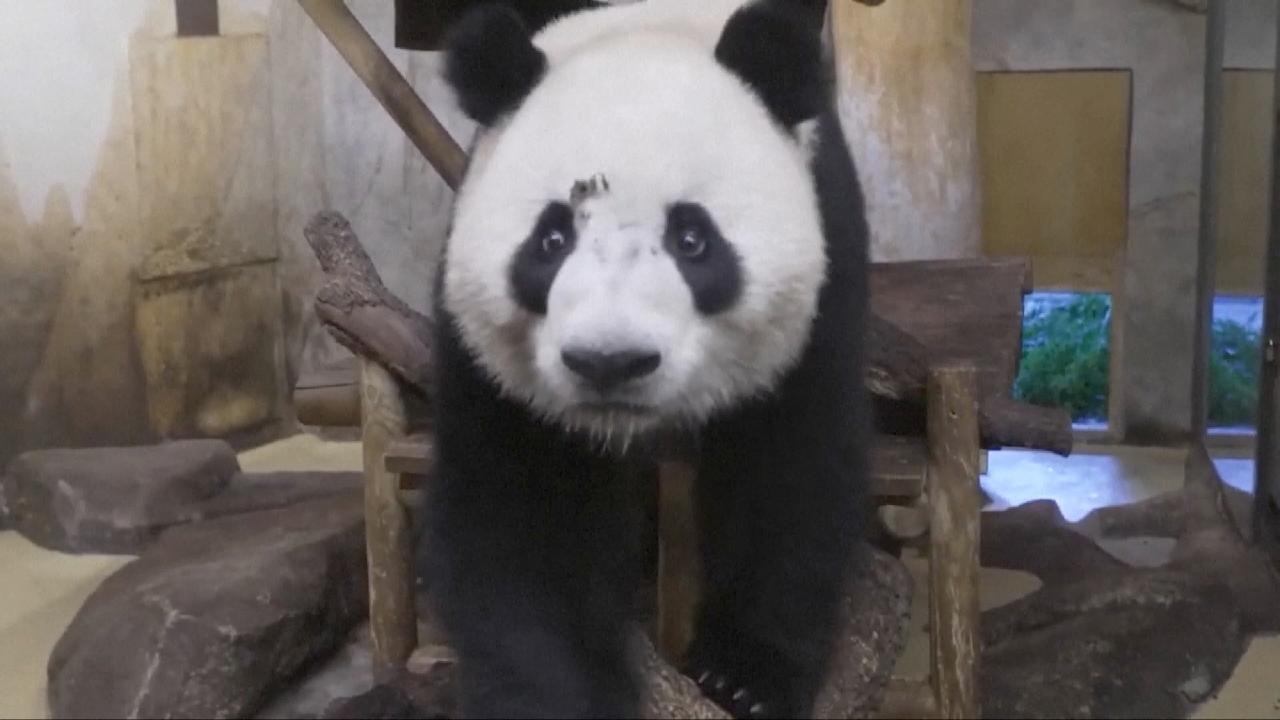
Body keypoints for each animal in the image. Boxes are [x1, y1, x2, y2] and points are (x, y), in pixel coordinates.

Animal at [423, 1, 870, 717]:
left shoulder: (823, 292)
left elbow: (791, 471)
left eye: (692, 239)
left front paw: (743, 676)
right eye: (551, 239)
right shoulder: (489, 355)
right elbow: (527, 508)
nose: (610, 362)